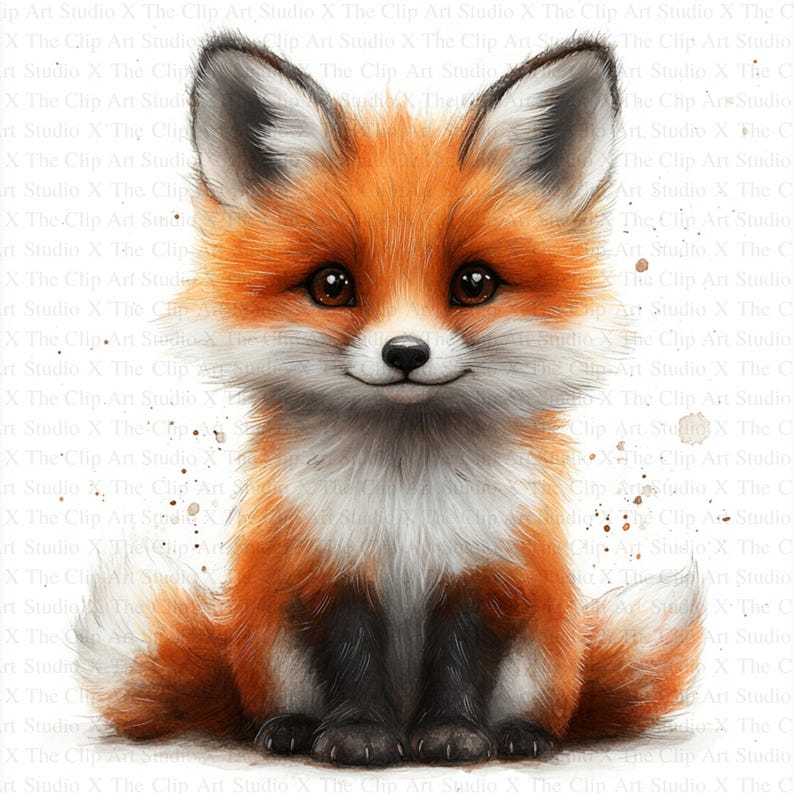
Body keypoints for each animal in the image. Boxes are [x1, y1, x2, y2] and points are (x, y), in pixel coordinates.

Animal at [75, 34, 704, 767]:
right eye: (331, 285)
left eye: (473, 283)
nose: (405, 353)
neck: (404, 495)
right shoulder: (329, 569)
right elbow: (355, 663)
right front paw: (359, 737)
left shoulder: (483, 571)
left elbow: (458, 666)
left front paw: (454, 737)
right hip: (272, 643)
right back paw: (288, 729)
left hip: (545, 654)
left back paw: (523, 735)